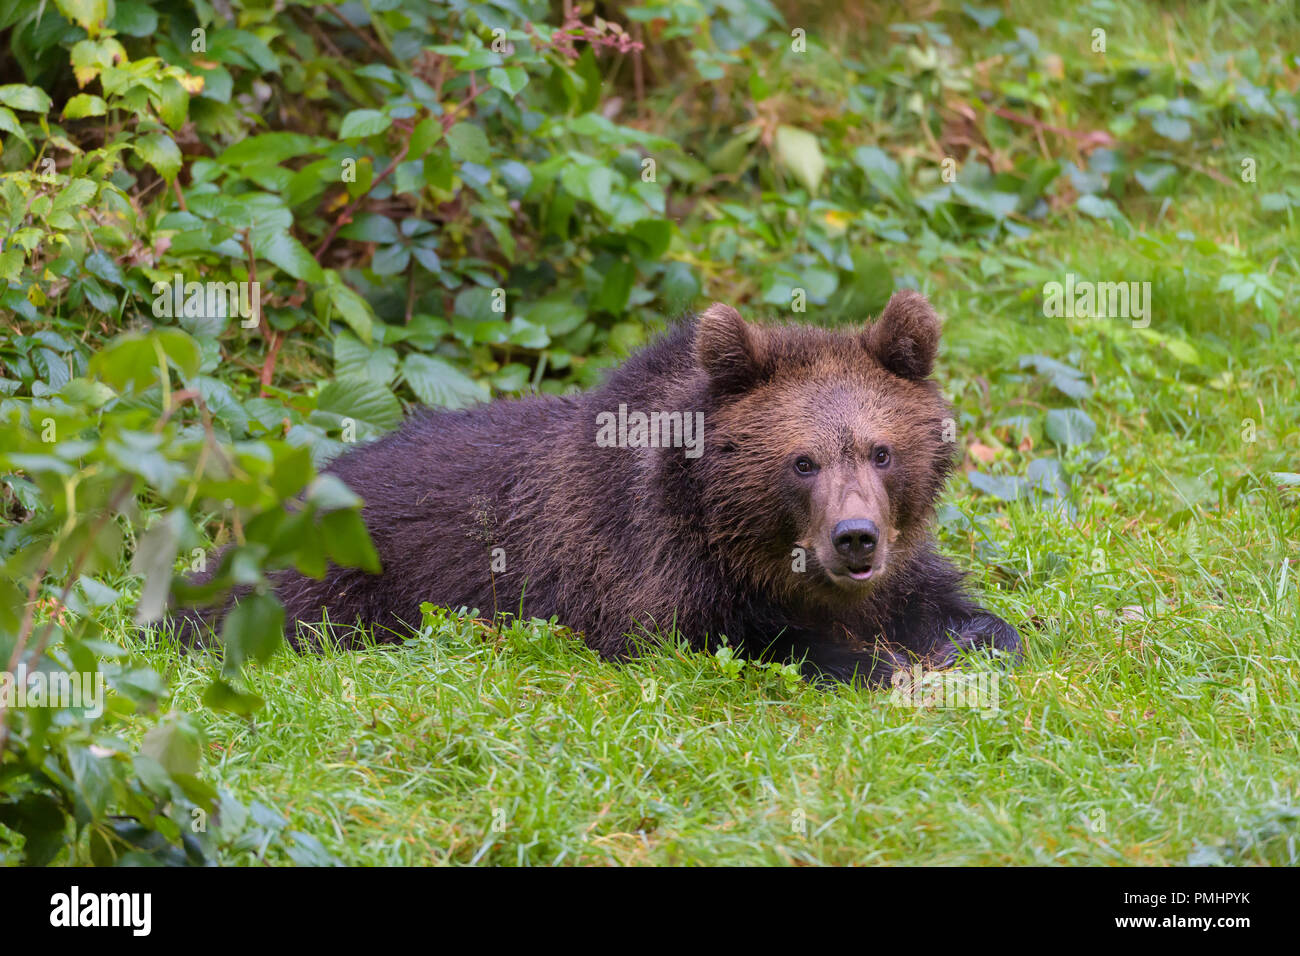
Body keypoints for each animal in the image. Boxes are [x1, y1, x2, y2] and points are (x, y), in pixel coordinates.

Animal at [173, 290, 1021, 685]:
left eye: (882, 451)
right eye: (802, 462)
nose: (854, 539)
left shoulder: (900, 565)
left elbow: (950, 605)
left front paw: (972, 636)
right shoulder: (646, 571)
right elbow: (724, 636)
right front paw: (869, 661)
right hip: (327, 580)